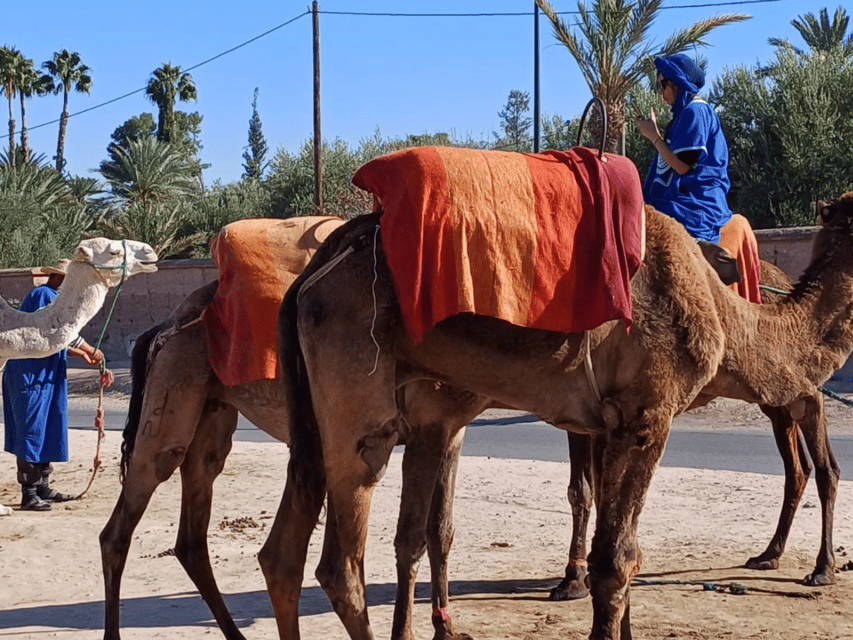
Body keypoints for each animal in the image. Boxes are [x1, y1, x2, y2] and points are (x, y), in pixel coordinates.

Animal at [101, 218, 834, 640]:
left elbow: (431, 535)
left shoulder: (445, 425)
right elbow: (598, 534)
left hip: (230, 424)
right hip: (240, 412)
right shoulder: (614, 416)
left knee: (226, 541)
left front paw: (447, 629)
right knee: (139, 527)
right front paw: (567, 584)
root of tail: (164, 327)